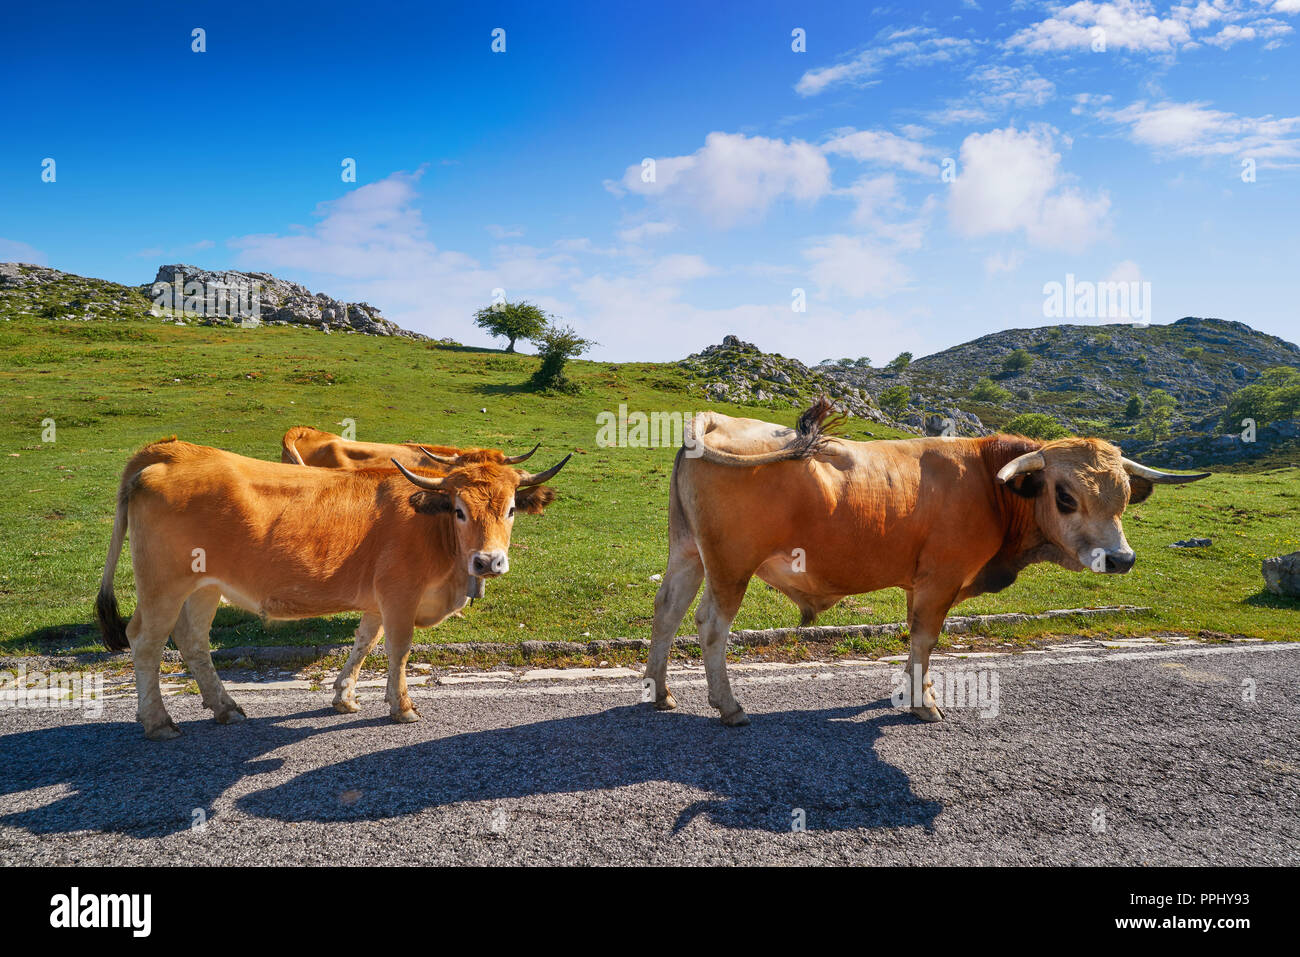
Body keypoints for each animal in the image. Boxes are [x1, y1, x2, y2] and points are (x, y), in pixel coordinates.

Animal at [95, 438, 569, 739]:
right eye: (459, 510)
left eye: (511, 509)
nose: (489, 562)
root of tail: (173, 450)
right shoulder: (400, 592)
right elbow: (398, 648)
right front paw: (402, 707)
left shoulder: (379, 597)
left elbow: (364, 641)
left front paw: (344, 696)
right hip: (164, 584)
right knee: (146, 641)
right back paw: (158, 722)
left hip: (204, 586)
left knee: (192, 641)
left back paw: (226, 708)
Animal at [644, 398, 1209, 727]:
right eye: (1066, 496)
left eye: (1123, 496)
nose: (1121, 558)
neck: (989, 482)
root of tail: (717, 419)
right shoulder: (942, 578)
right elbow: (925, 638)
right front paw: (924, 704)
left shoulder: (921, 581)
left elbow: (918, 641)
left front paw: (921, 688)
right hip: (730, 567)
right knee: (710, 625)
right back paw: (728, 706)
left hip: (687, 552)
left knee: (668, 610)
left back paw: (659, 692)